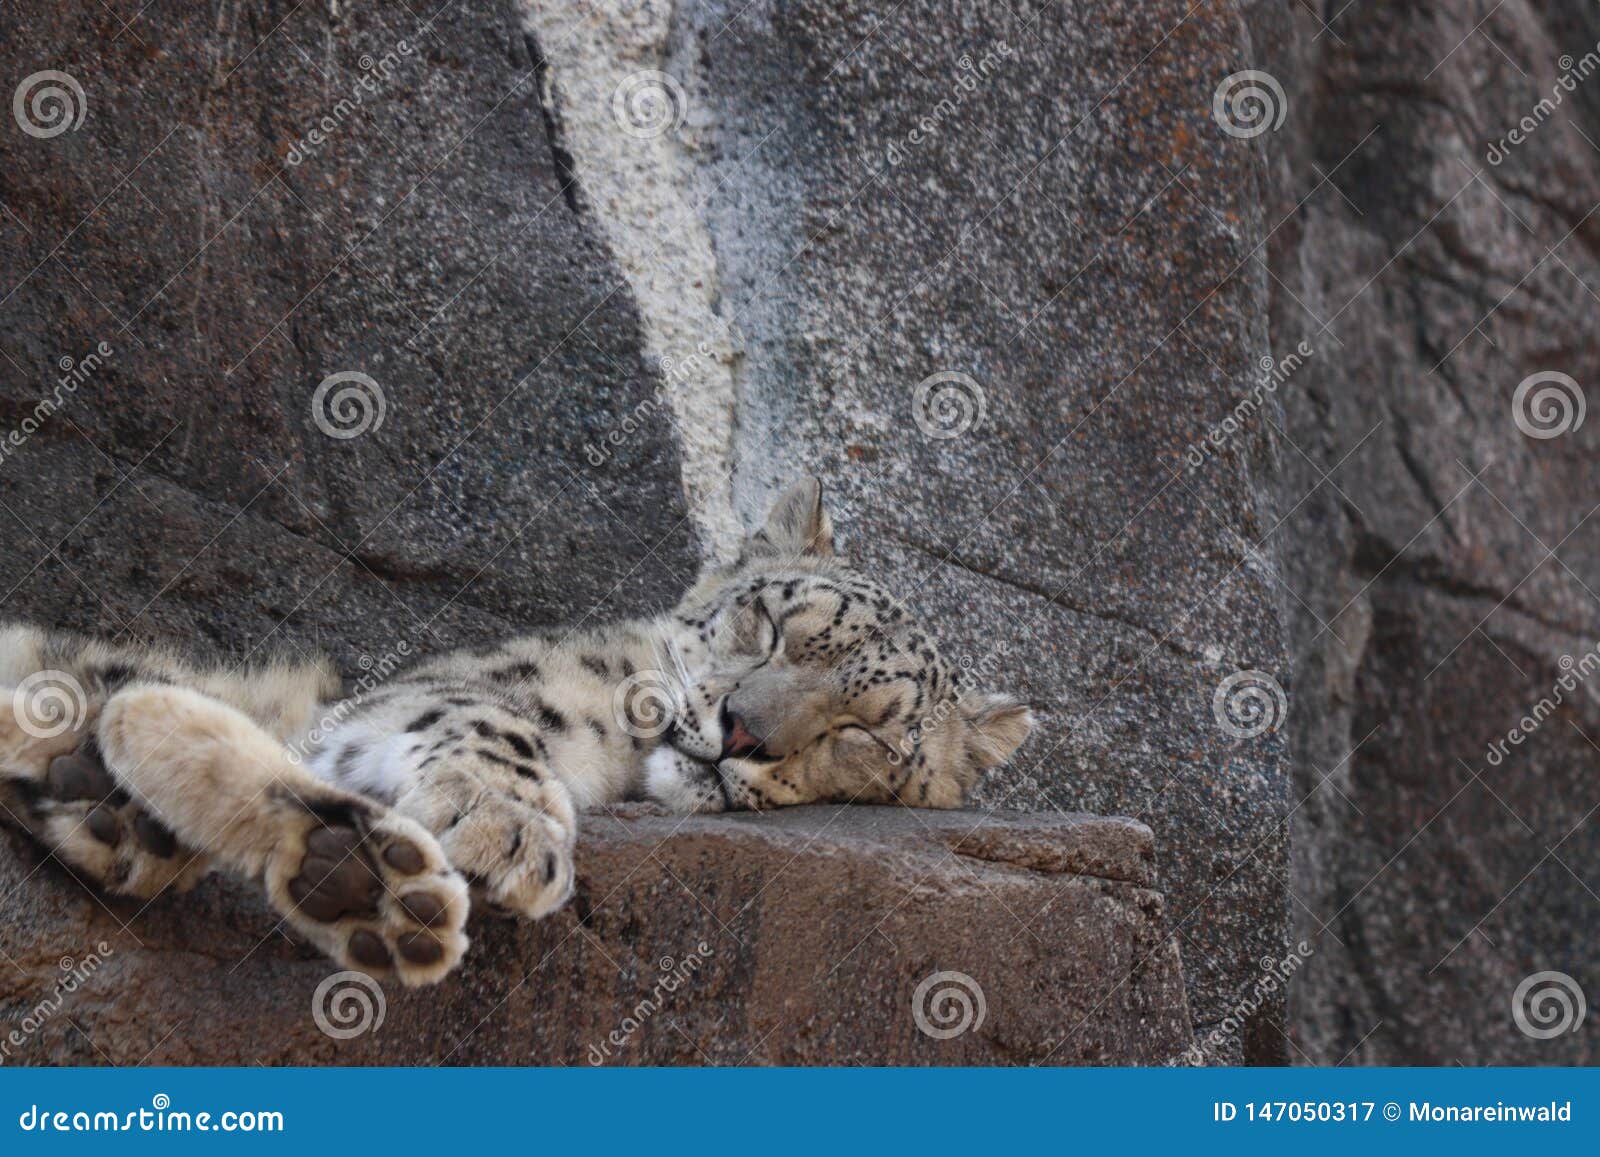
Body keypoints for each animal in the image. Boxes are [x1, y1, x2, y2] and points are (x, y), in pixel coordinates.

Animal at [0, 479, 1033, 986]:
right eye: (772, 622)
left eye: (865, 732)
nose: (742, 730)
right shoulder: (431, 694)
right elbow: (487, 717)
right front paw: (511, 828)